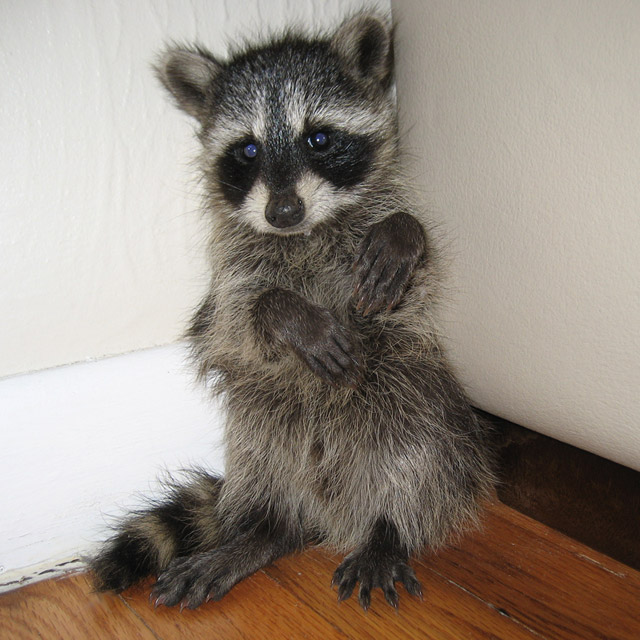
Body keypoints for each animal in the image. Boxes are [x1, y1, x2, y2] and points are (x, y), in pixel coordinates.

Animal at [91, 12, 495, 611]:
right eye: (248, 150)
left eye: (319, 138)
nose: (283, 211)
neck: (306, 232)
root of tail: (327, 509)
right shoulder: (231, 274)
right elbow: (237, 318)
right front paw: (287, 314)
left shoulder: (396, 297)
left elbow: (413, 276)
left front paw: (403, 234)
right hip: (262, 412)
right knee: (262, 451)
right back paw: (264, 529)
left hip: (410, 385)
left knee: (415, 442)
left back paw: (388, 526)